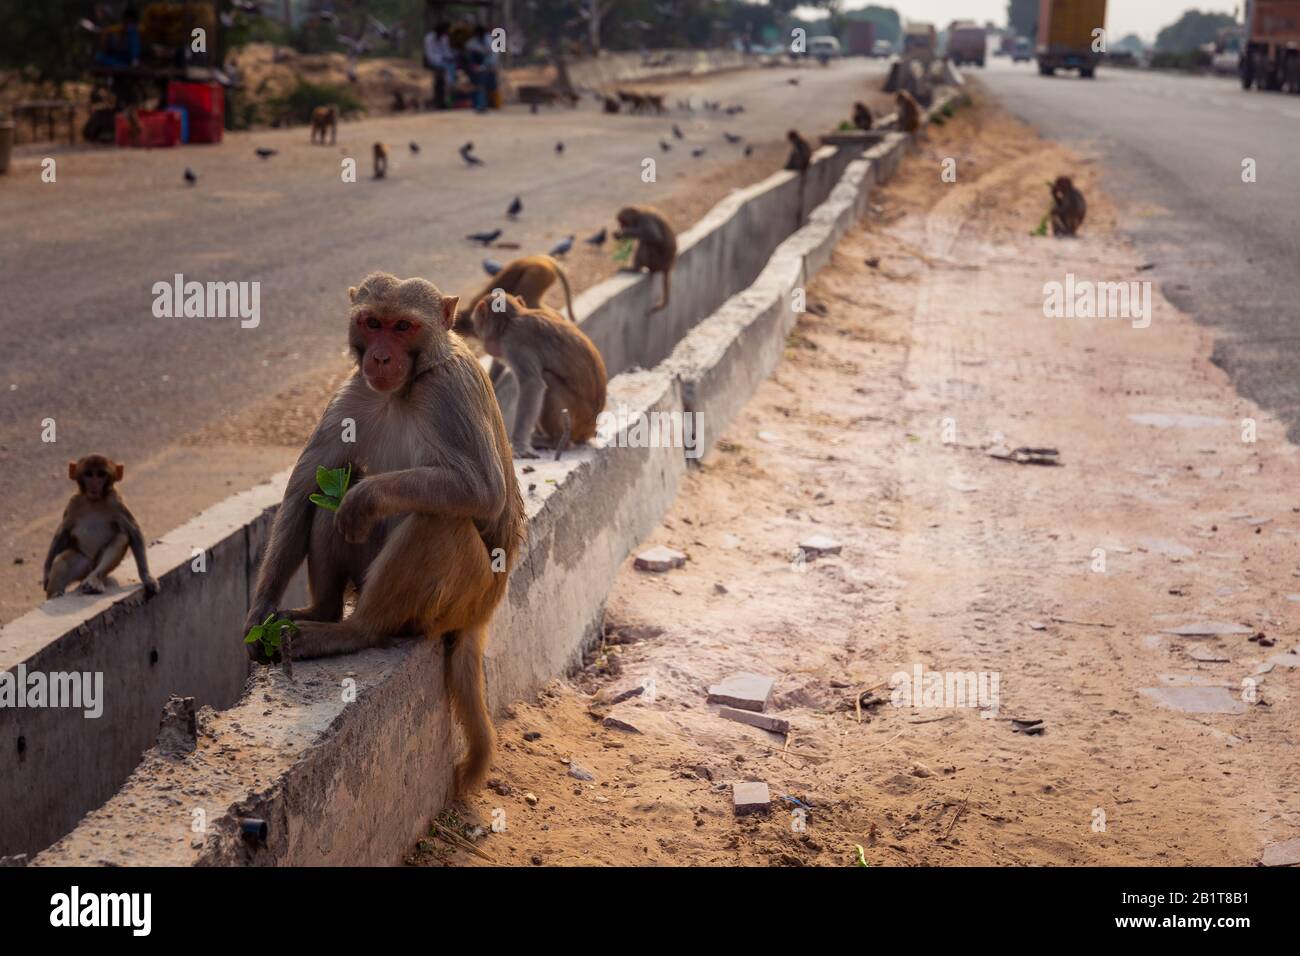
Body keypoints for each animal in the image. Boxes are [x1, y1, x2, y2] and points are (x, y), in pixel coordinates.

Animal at [44, 455, 159, 599]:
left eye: (101, 474)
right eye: (88, 474)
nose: (94, 484)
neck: (94, 501)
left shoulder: (116, 502)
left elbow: (133, 531)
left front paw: (146, 577)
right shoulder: (74, 503)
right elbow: (63, 533)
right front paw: (46, 572)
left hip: (97, 567)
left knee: (121, 538)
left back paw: (94, 581)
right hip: (84, 561)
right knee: (62, 562)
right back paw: (55, 594)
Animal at [242, 272, 525, 795]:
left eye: (403, 327)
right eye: (372, 323)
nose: (380, 358)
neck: (406, 386)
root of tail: (485, 610)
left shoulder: (449, 391)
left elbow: (482, 489)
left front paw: (364, 499)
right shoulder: (351, 393)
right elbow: (305, 489)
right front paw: (259, 617)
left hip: (461, 595)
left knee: (438, 520)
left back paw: (353, 631)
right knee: (329, 497)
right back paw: (323, 612)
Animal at [471, 294, 607, 460]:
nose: (486, 345)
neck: (513, 318)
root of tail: (591, 428)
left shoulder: (514, 341)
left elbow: (532, 384)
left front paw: (519, 446)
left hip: (578, 418)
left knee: (547, 379)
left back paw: (556, 441)